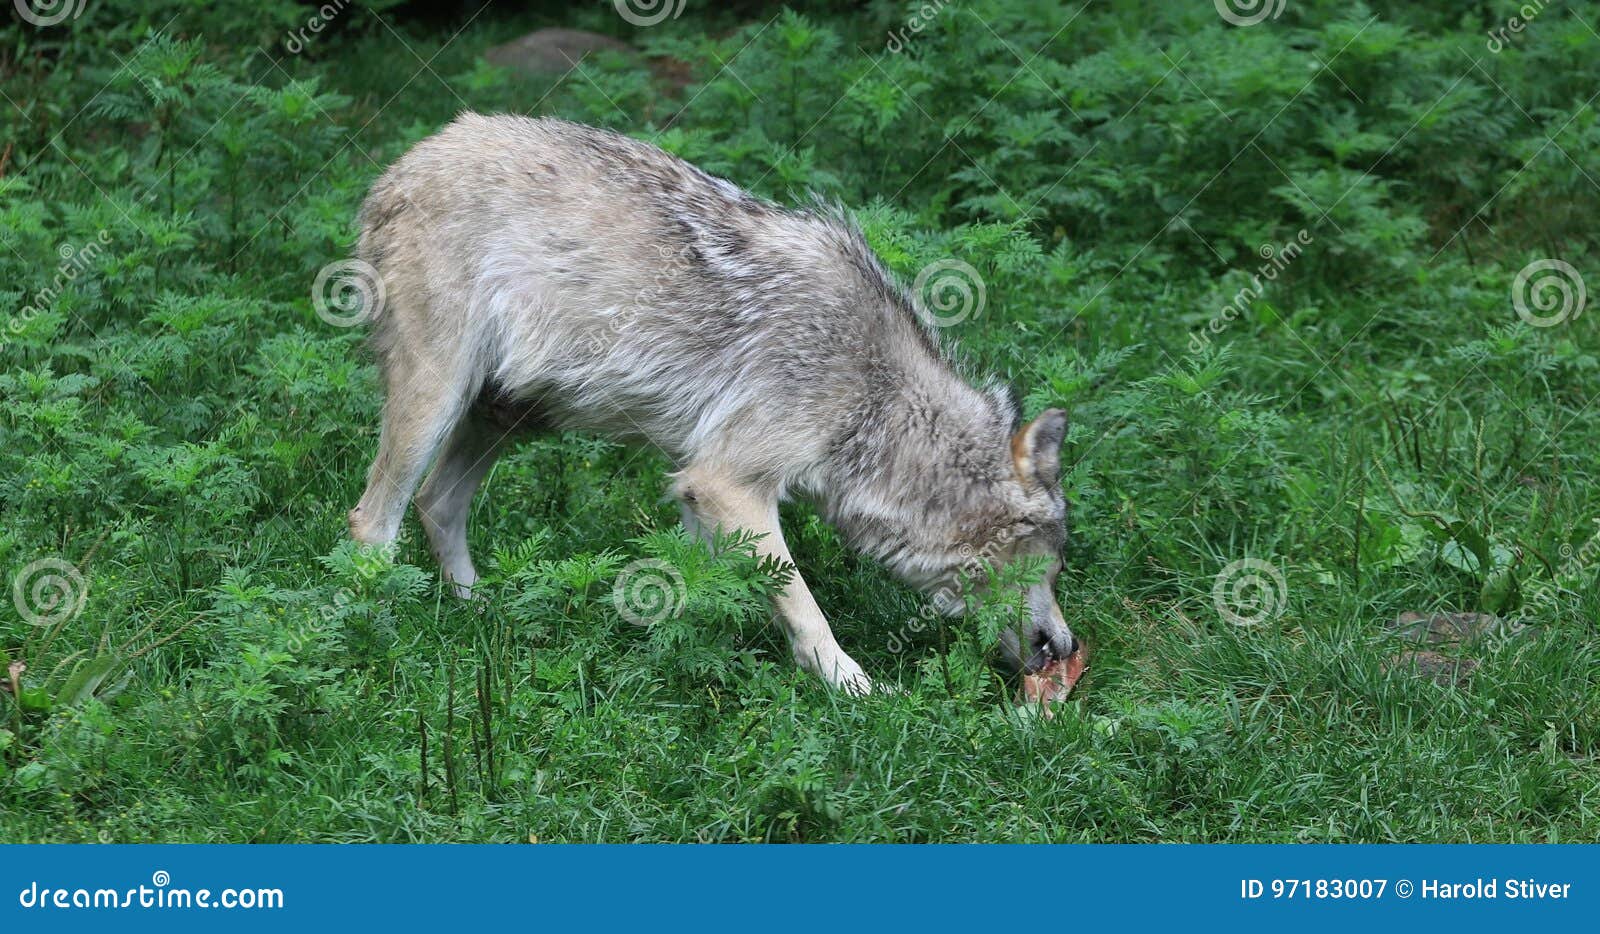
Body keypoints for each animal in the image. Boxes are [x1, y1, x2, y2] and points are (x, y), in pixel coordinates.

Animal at [347, 113, 1075, 694]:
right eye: (1052, 563)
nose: (1066, 647)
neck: (877, 400)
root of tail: (405, 161)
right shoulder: (724, 483)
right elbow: (806, 609)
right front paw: (856, 691)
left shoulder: (700, 498)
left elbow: (712, 588)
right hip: (437, 401)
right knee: (371, 525)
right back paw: (375, 639)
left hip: (511, 415)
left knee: (436, 503)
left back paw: (481, 614)